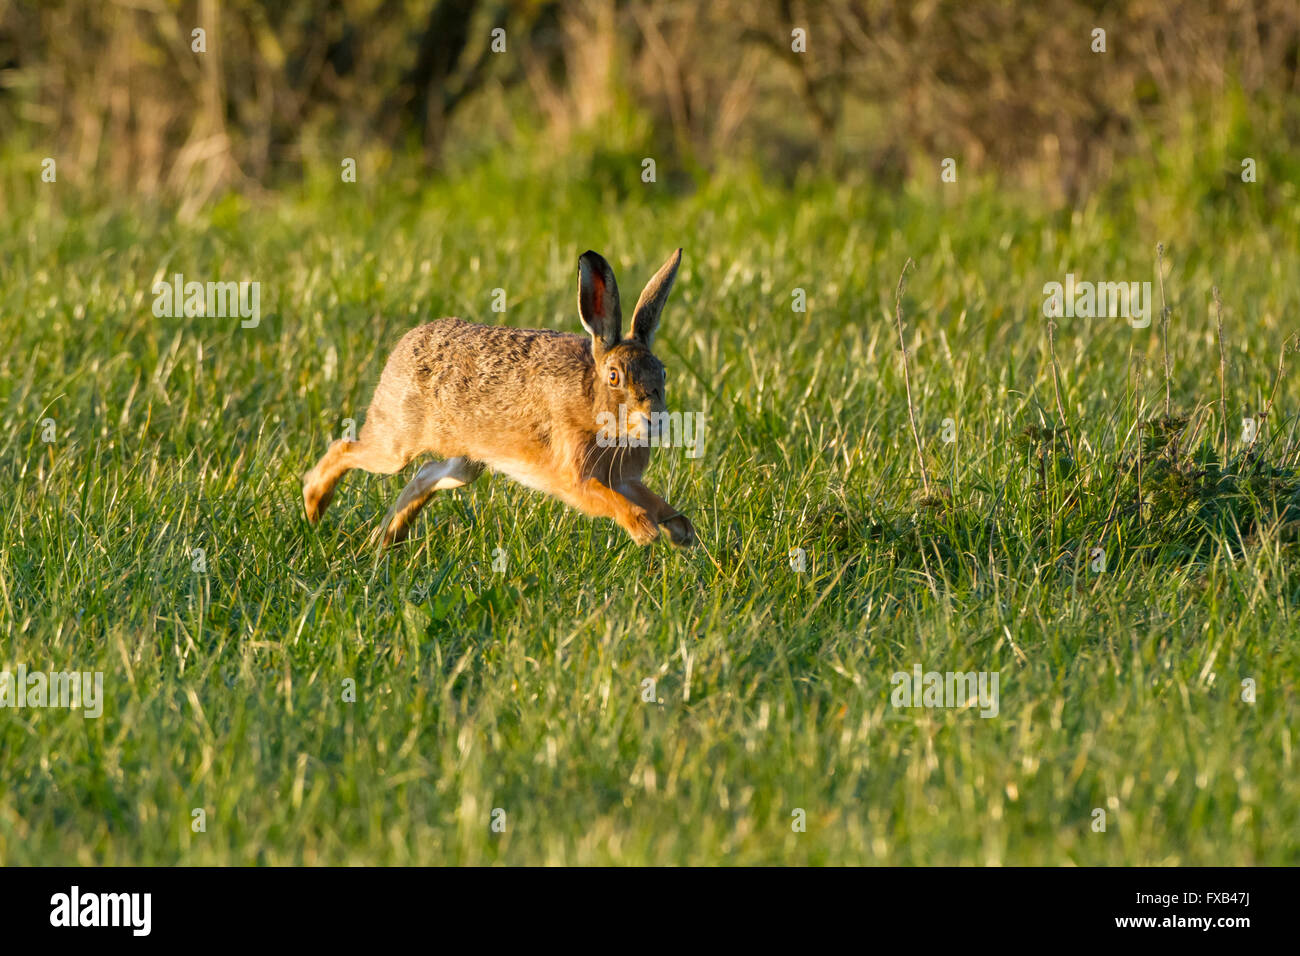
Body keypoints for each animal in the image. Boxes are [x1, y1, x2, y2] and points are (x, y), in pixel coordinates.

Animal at [303, 249, 697, 550]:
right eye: (614, 376)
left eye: (662, 373)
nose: (655, 419)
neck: (592, 404)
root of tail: (405, 344)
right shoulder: (577, 478)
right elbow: (612, 502)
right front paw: (644, 530)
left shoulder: (626, 479)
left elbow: (654, 500)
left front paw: (681, 530)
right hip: (396, 443)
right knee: (347, 448)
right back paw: (313, 506)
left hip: (466, 464)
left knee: (428, 473)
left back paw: (387, 539)